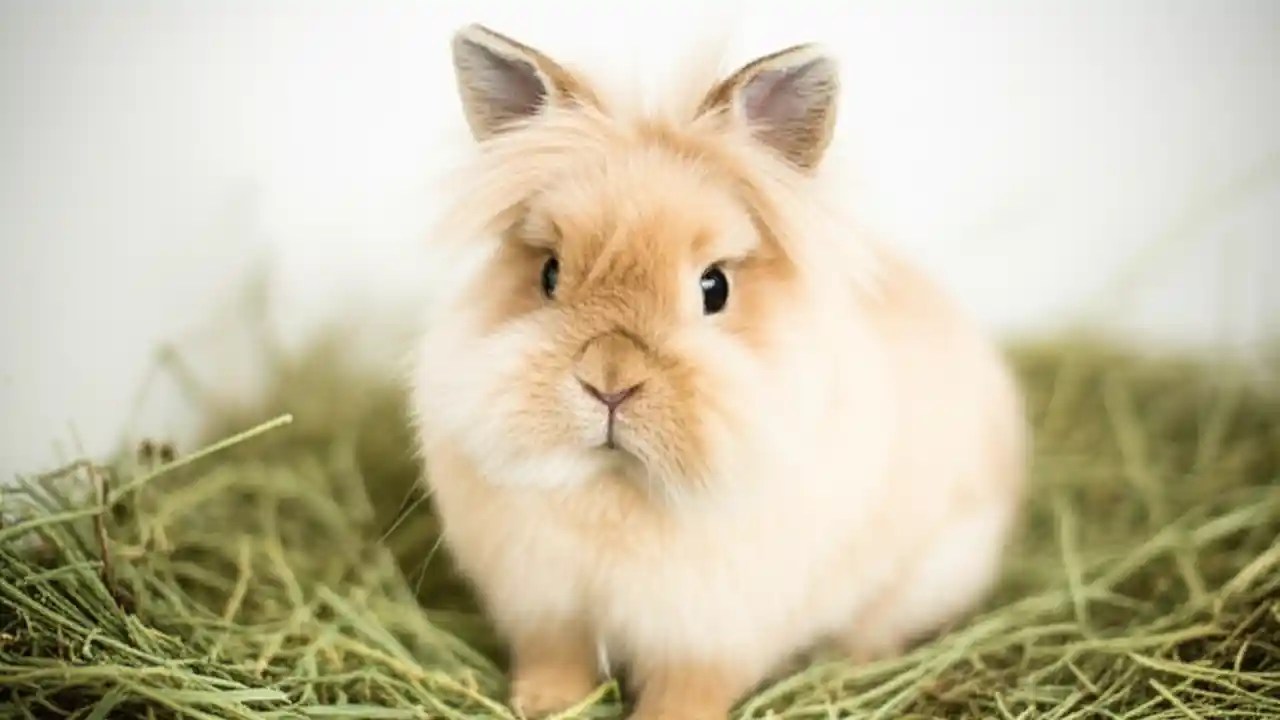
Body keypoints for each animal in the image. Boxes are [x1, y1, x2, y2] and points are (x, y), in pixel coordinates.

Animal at [410, 23, 1028, 720]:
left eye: (715, 287)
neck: (618, 483)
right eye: (548, 273)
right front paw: (543, 704)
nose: (610, 381)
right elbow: (559, 658)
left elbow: (691, 684)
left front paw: (665, 716)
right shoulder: (548, 606)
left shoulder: (712, 628)